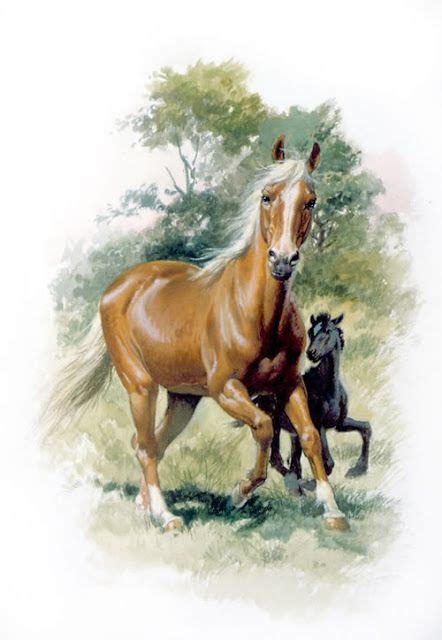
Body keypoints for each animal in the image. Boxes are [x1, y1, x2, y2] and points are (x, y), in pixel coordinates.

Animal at [49, 135, 349, 532]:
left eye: (310, 201)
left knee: (149, 443)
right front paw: (239, 493)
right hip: (141, 387)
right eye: (266, 196)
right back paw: (166, 516)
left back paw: (145, 508)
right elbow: (263, 428)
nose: (282, 261)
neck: (256, 313)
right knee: (146, 446)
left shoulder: (288, 384)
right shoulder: (226, 390)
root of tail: (117, 287)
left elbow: (311, 436)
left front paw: (332, 511)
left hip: (183, 399)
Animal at [259, 312, 372, 488]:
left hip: (294, 431)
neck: (327, 388)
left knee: (291, 455)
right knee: (276, 458)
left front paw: (358, 469)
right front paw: (313, 482)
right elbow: (328, 463)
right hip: (274, 423)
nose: (311, 352)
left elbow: (366, 428)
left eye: (327, 331)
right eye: (311, 332)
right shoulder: (319, 426)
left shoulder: (340, 424)